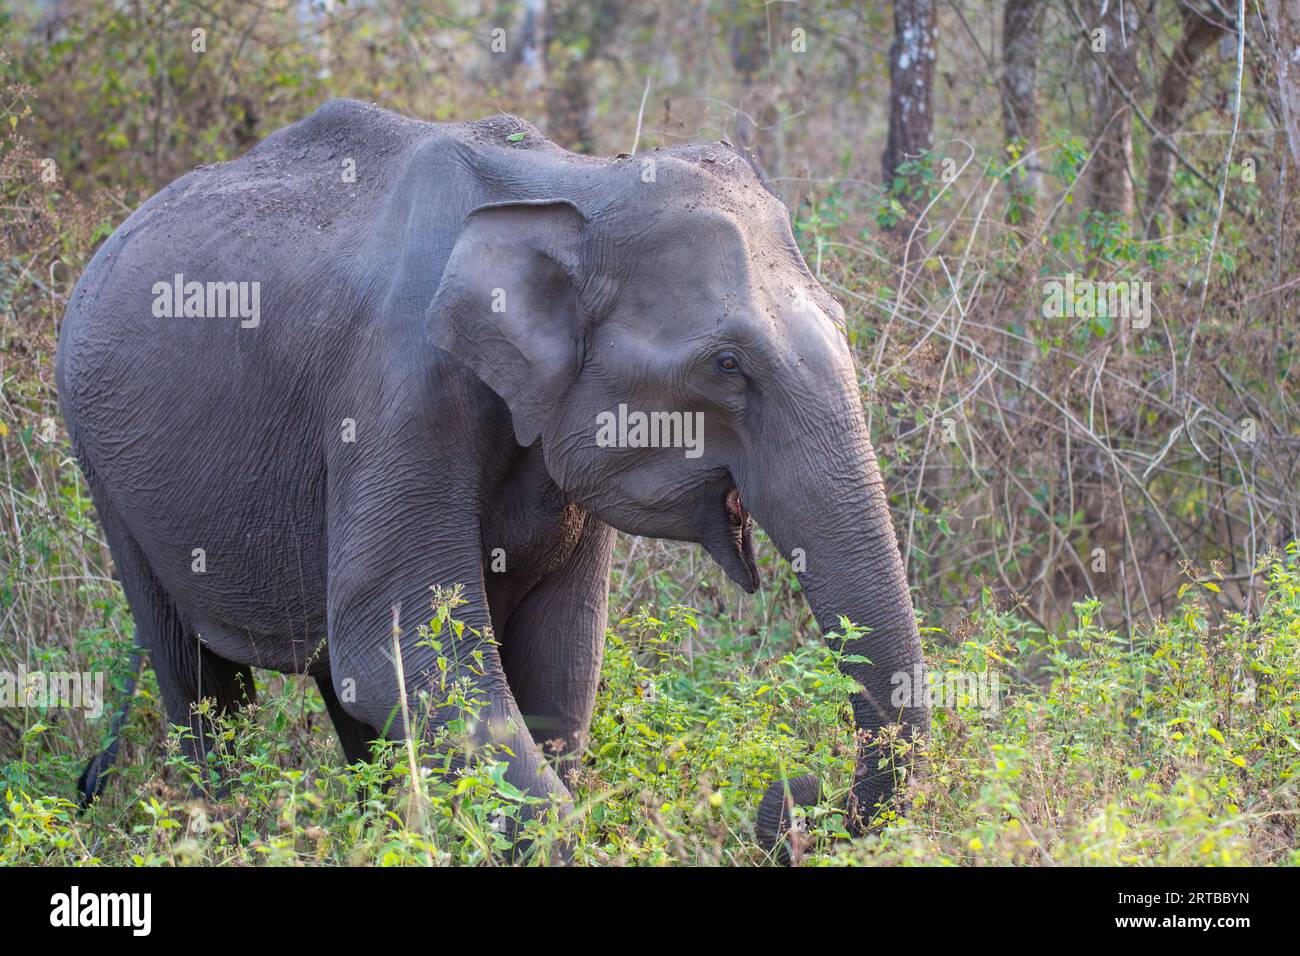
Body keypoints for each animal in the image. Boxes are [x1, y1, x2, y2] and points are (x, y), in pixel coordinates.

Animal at [57, 98, 928, 856]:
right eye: (727, 364)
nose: (785, 798)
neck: (576, 184)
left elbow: (560, 653)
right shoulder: (399, 392)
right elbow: (401, 643)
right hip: (103, 465)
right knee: (202, 687)